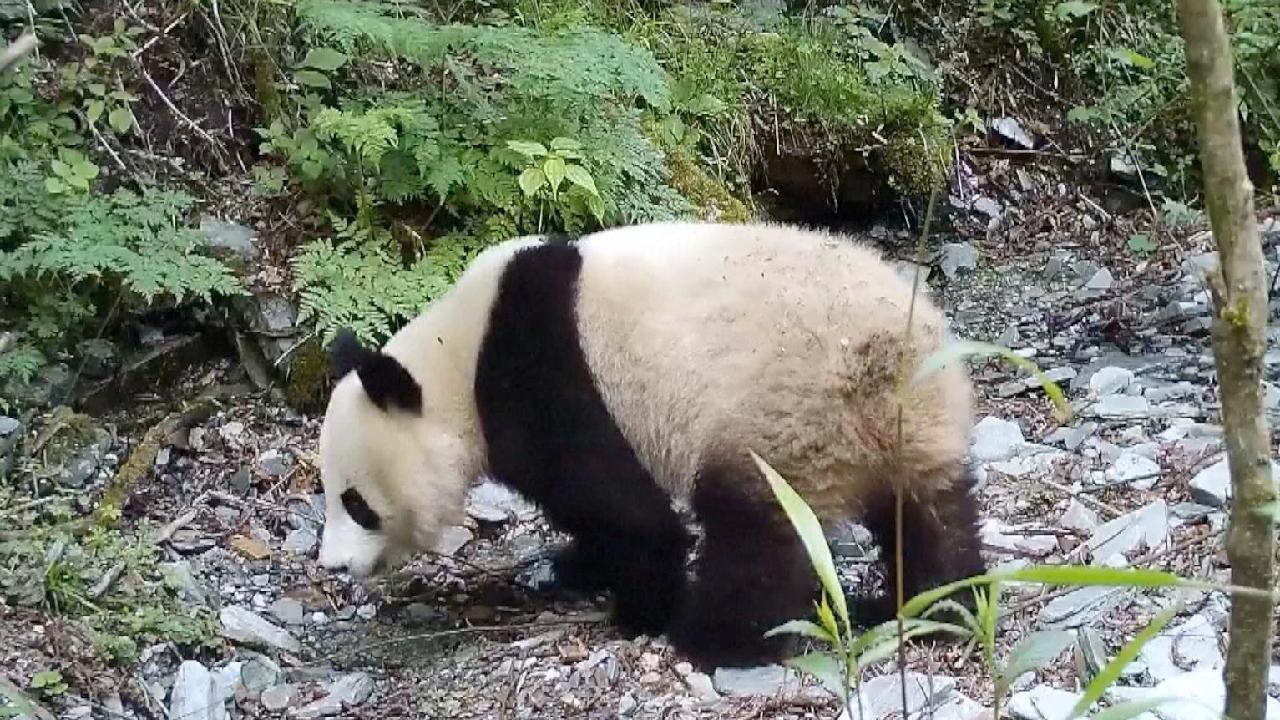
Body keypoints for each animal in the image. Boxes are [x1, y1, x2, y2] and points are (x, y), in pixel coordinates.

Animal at [316, 221, 985, 669]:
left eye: (355, 502)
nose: (333, 566)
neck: (454, 356)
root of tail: (894, 362)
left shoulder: (538, 372)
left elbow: (621, 509)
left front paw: (637, 609)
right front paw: (571, 566)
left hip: (787, 415)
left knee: (761, 531)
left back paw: (716, 636)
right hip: (913, 429)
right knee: (932, 514)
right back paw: (938, 604)